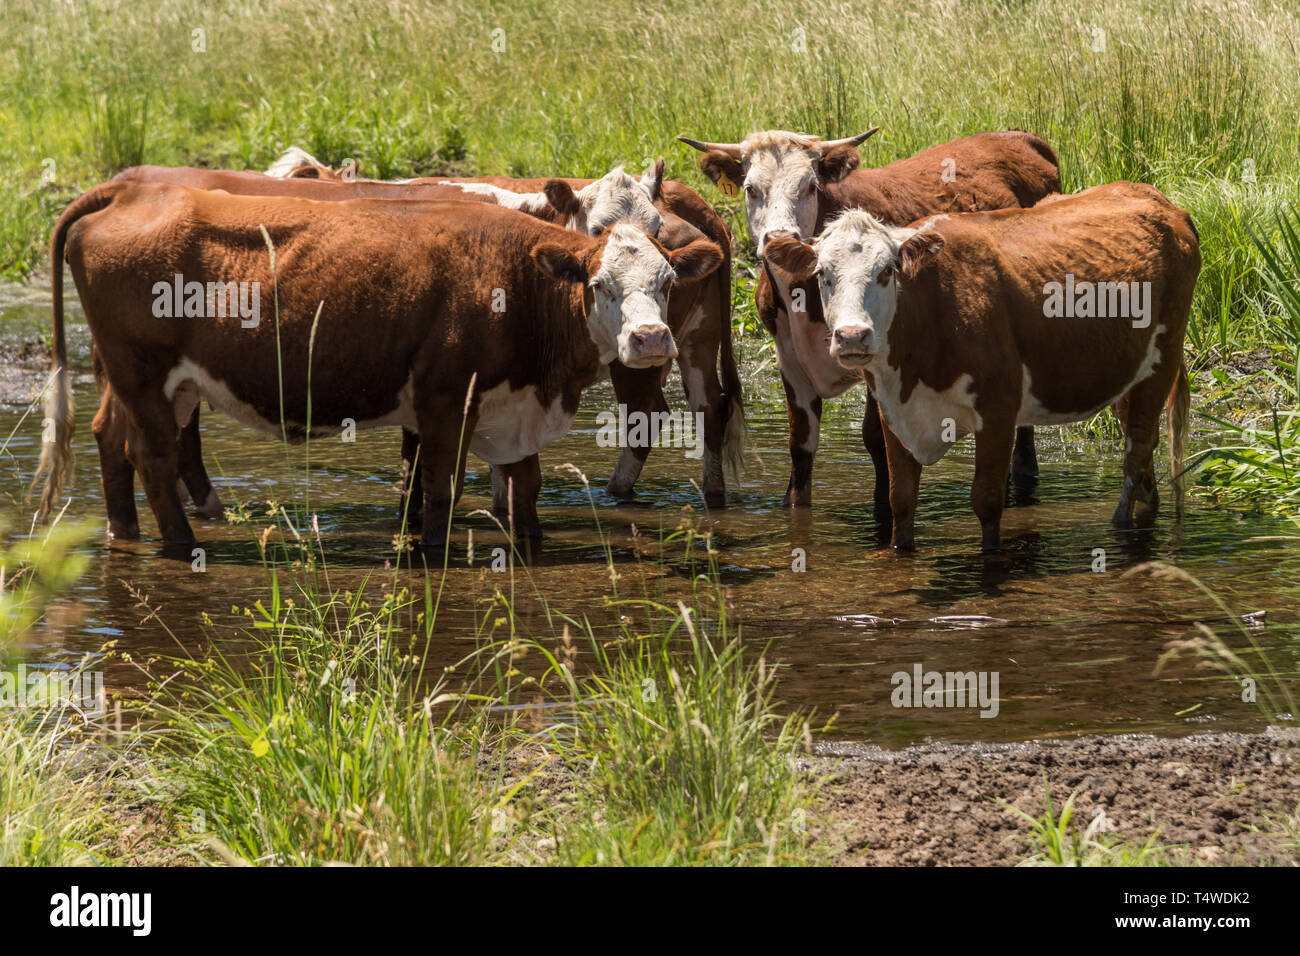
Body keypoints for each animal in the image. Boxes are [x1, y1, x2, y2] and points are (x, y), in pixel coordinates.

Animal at [34, 183, 723, 548]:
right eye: (600, 285)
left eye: (666, 282)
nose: (651, 339)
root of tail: (134, 190)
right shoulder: (447, 400)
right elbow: (439, 491)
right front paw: (434, 552)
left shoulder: (510, 404)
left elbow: (522, 487)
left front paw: (527, 542)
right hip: (141, 374)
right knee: (153, 456)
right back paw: (182, 548)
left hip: (151, 383)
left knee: (111, 440)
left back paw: (124, 533)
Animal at [679, 129, 1059, 516]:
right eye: (751, 188)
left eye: (810, 186)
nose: (779, 237)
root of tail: (1018, 136)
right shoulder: (789, 358)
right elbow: (800, 445)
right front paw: (795, 507)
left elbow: (876, 441)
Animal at [761, 181, 1199, 551]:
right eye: (822, 273)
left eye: (886, 271)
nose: (853, 336)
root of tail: (1158, 199)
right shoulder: (892, 409)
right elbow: (901, 500)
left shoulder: (999, 408)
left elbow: (987, 502)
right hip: (1128, 372)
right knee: (1143, 453)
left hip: (1164, 357)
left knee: (1137, 449)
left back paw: (1122, 525)